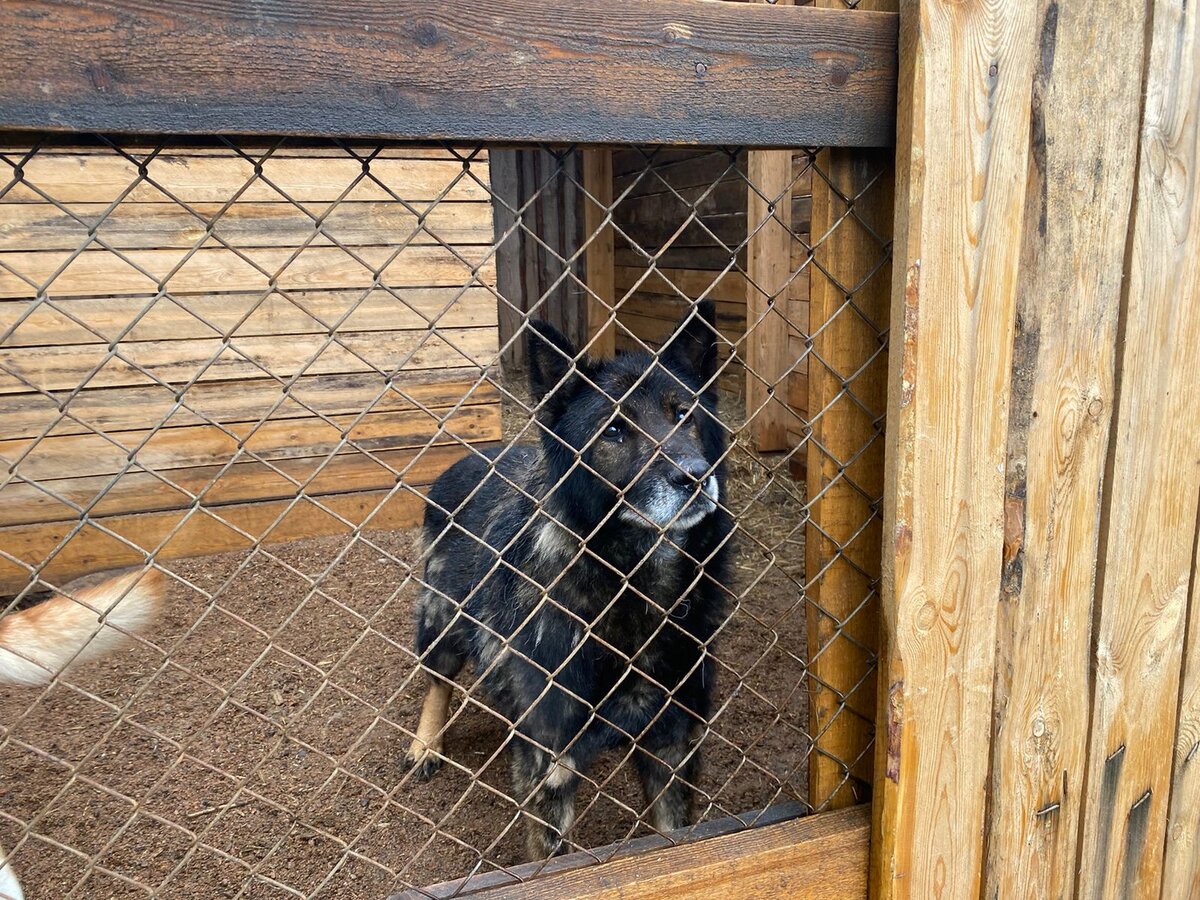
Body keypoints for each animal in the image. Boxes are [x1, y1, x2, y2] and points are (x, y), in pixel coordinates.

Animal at [405, 303, 729, 859]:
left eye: (683, 414)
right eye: (614, 431)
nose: (693, 477)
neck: (629, 587)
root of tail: (468, 458)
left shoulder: (672, 740)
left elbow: (675, 833)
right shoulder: (549, 762)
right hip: (440, 621)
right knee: (438, 680)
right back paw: (425, 744)